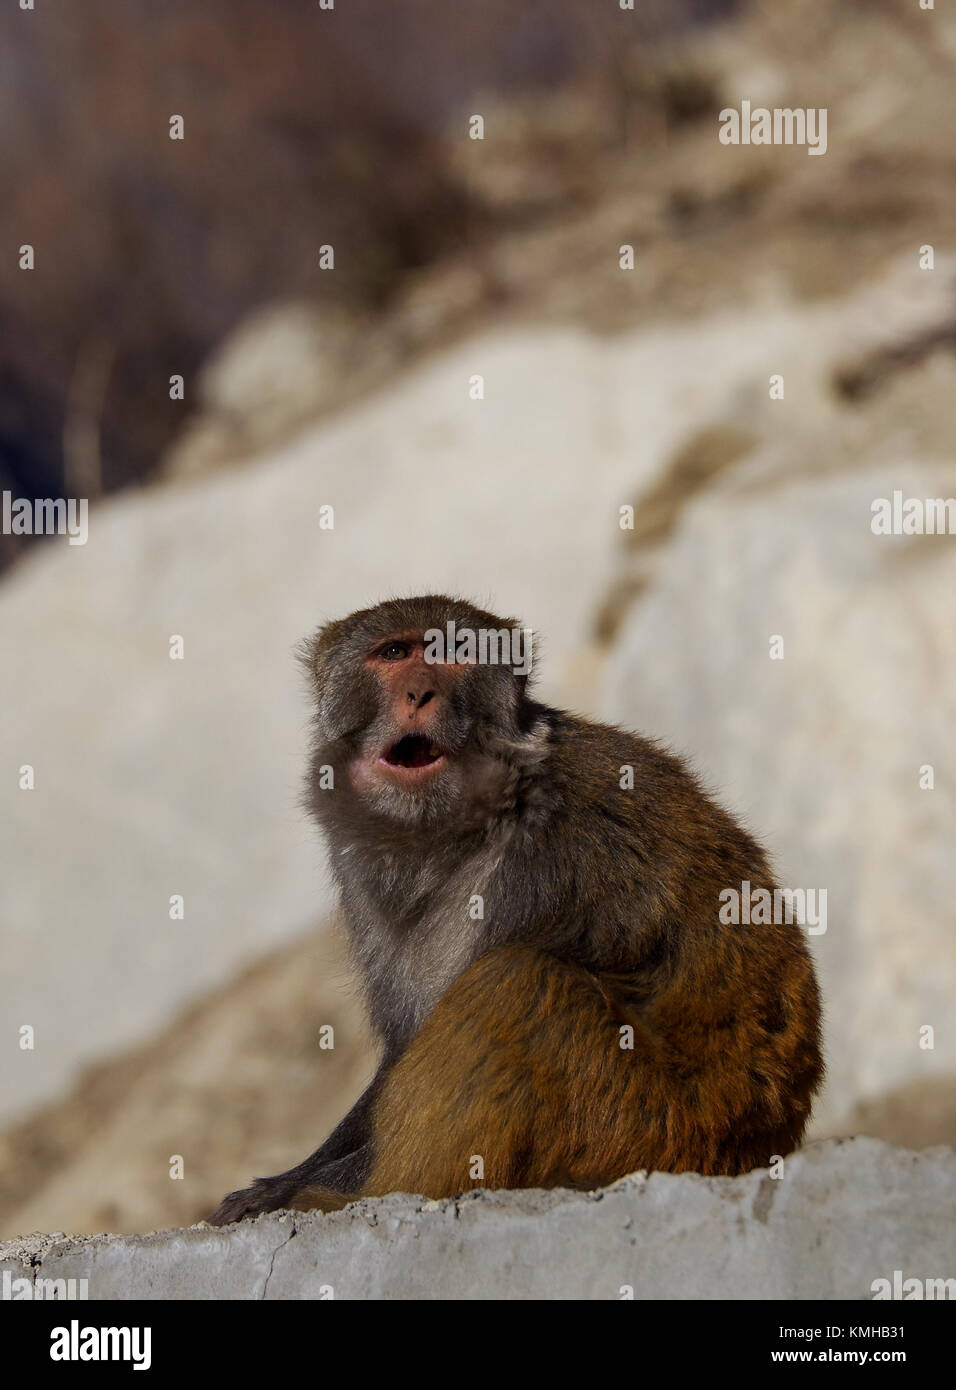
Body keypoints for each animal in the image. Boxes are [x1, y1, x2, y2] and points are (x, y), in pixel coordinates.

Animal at [209, 594, 822, 1224]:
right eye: (395, 653)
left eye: (453, 653)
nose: (420, 693)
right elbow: (403, 1044)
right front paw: (280, 1183)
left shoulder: (548, 857)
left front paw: (293, 1192)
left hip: (649, 1129)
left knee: (518, 983)